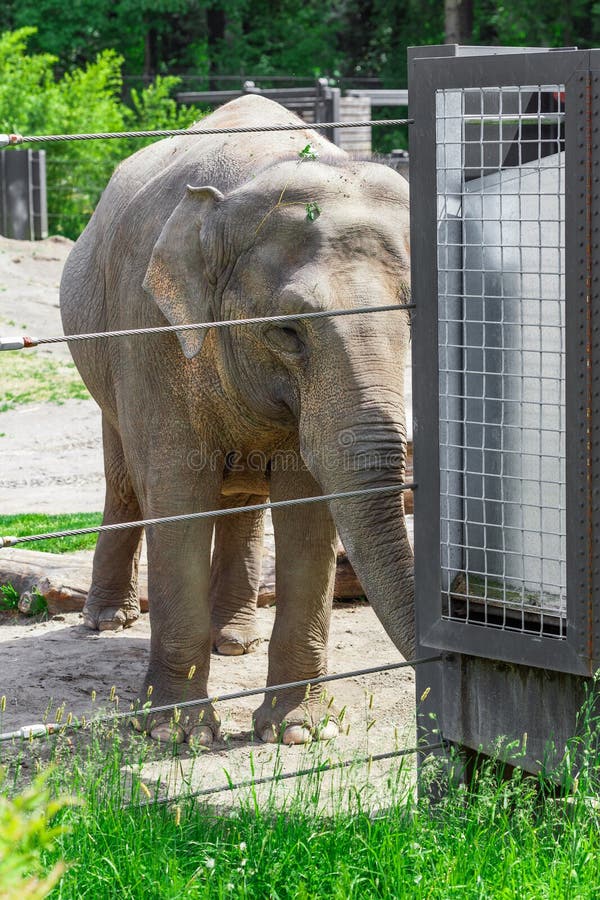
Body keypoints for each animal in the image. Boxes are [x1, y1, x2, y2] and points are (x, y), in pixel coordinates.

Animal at [60, 94, 414, 746]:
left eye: (412, 316)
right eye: (288, 331)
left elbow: (307, 508)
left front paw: (296, 732)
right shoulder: (148, 332)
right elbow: (176, 494)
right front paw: (175, 735)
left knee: (245, 499)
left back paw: (233, 641)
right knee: (125, 480)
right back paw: (109, 620)